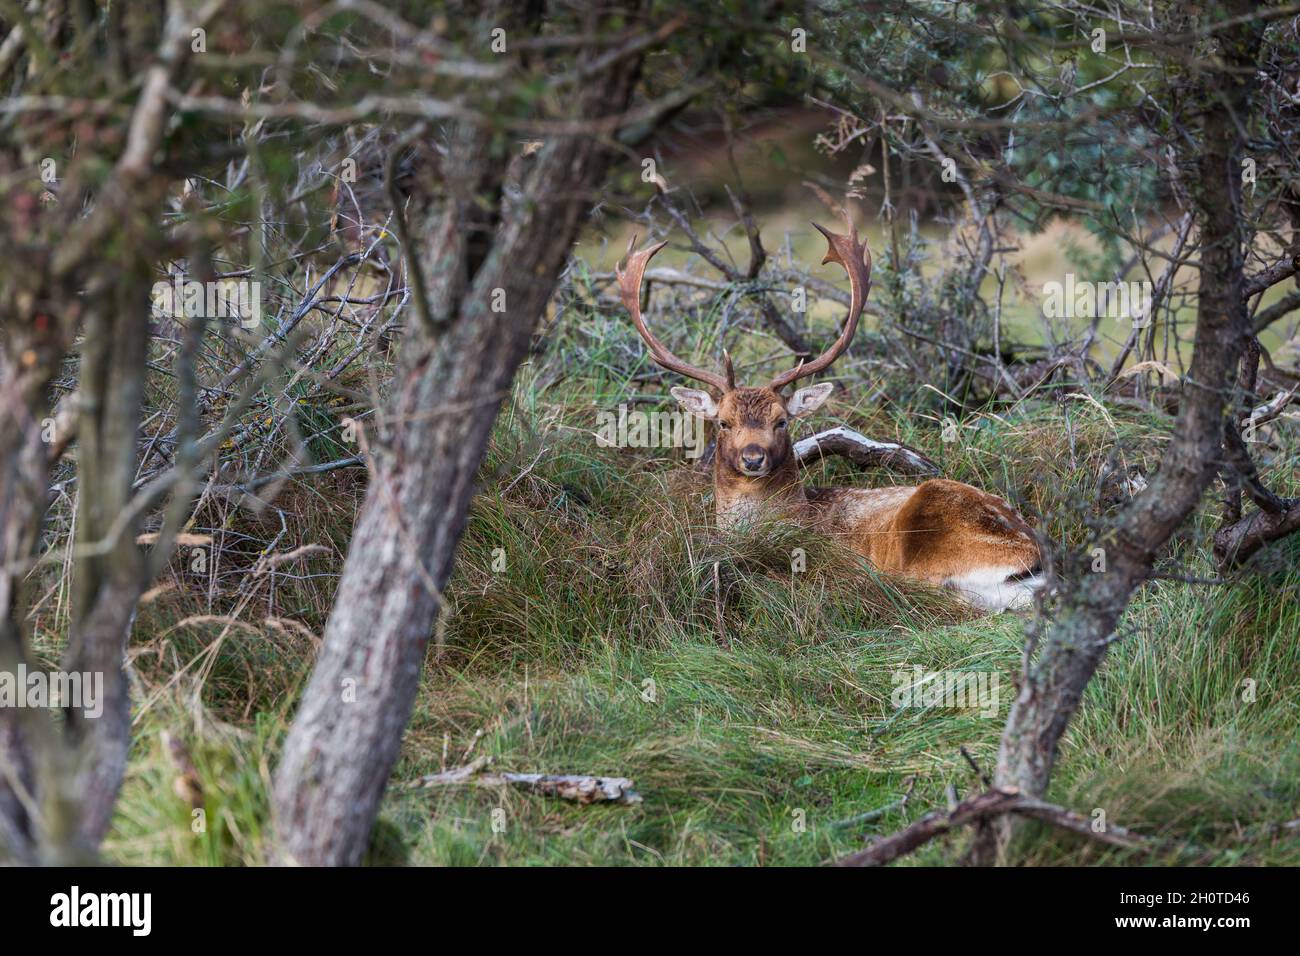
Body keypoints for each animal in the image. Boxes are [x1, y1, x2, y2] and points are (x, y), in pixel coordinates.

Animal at [617, 217, 1044, 611]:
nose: (753, 458)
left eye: (782, 420)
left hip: (930, 527)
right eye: (723, 421)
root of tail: (1033, 565)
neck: (802, 514)